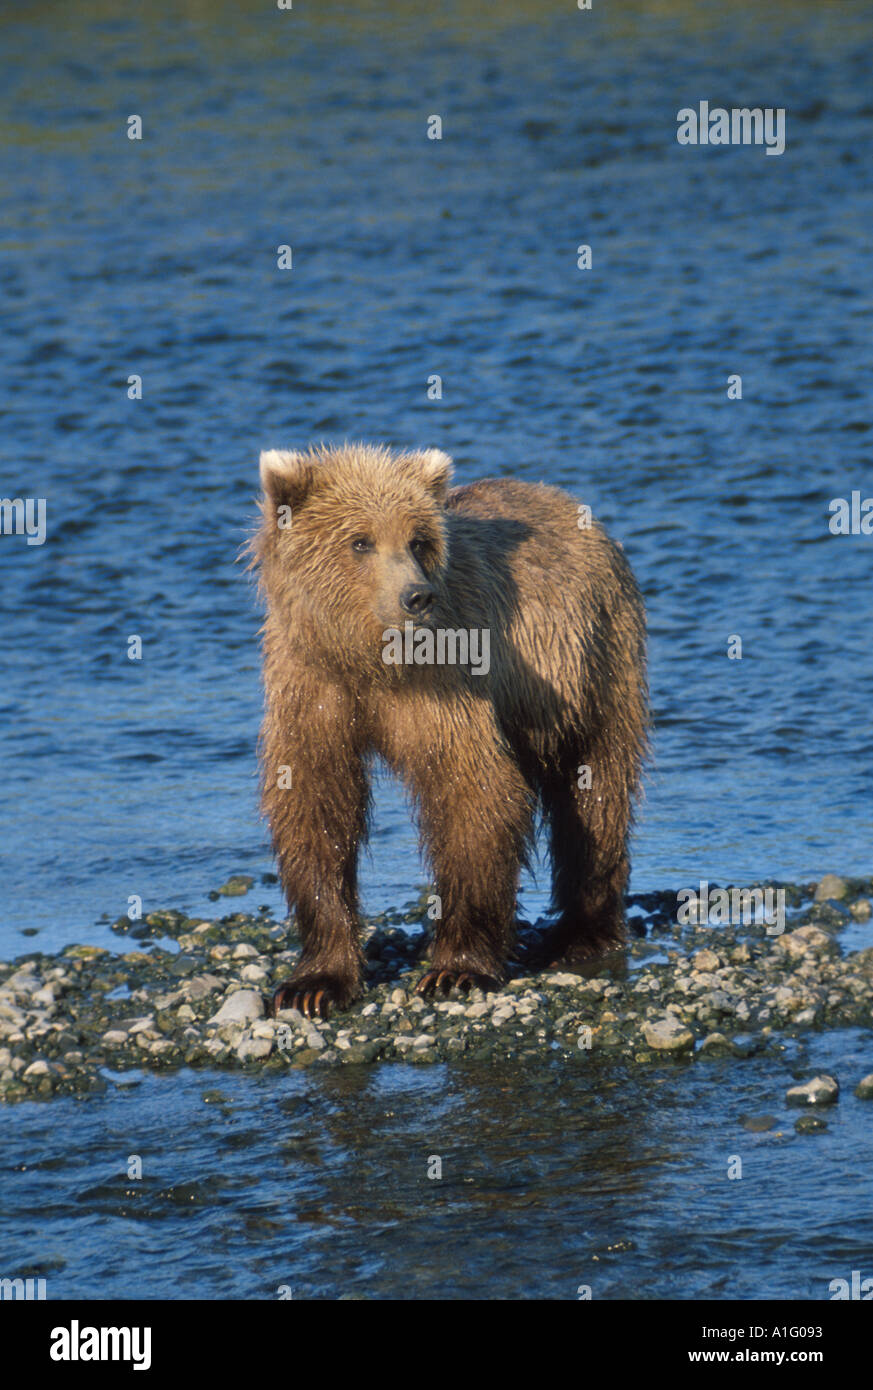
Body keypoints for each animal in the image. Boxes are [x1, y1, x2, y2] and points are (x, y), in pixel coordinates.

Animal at [253, 443, 648, 1019]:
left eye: (417, 540)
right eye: (359, 540)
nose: (417, 597)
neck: (368, 660)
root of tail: (569, 504)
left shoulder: (444, 684)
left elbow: (473, 793)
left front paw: (455, 969)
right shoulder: (311, 688)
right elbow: (315, 801)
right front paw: (316, 981)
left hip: (592, 658)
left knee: (596, 788)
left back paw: (582, 932)